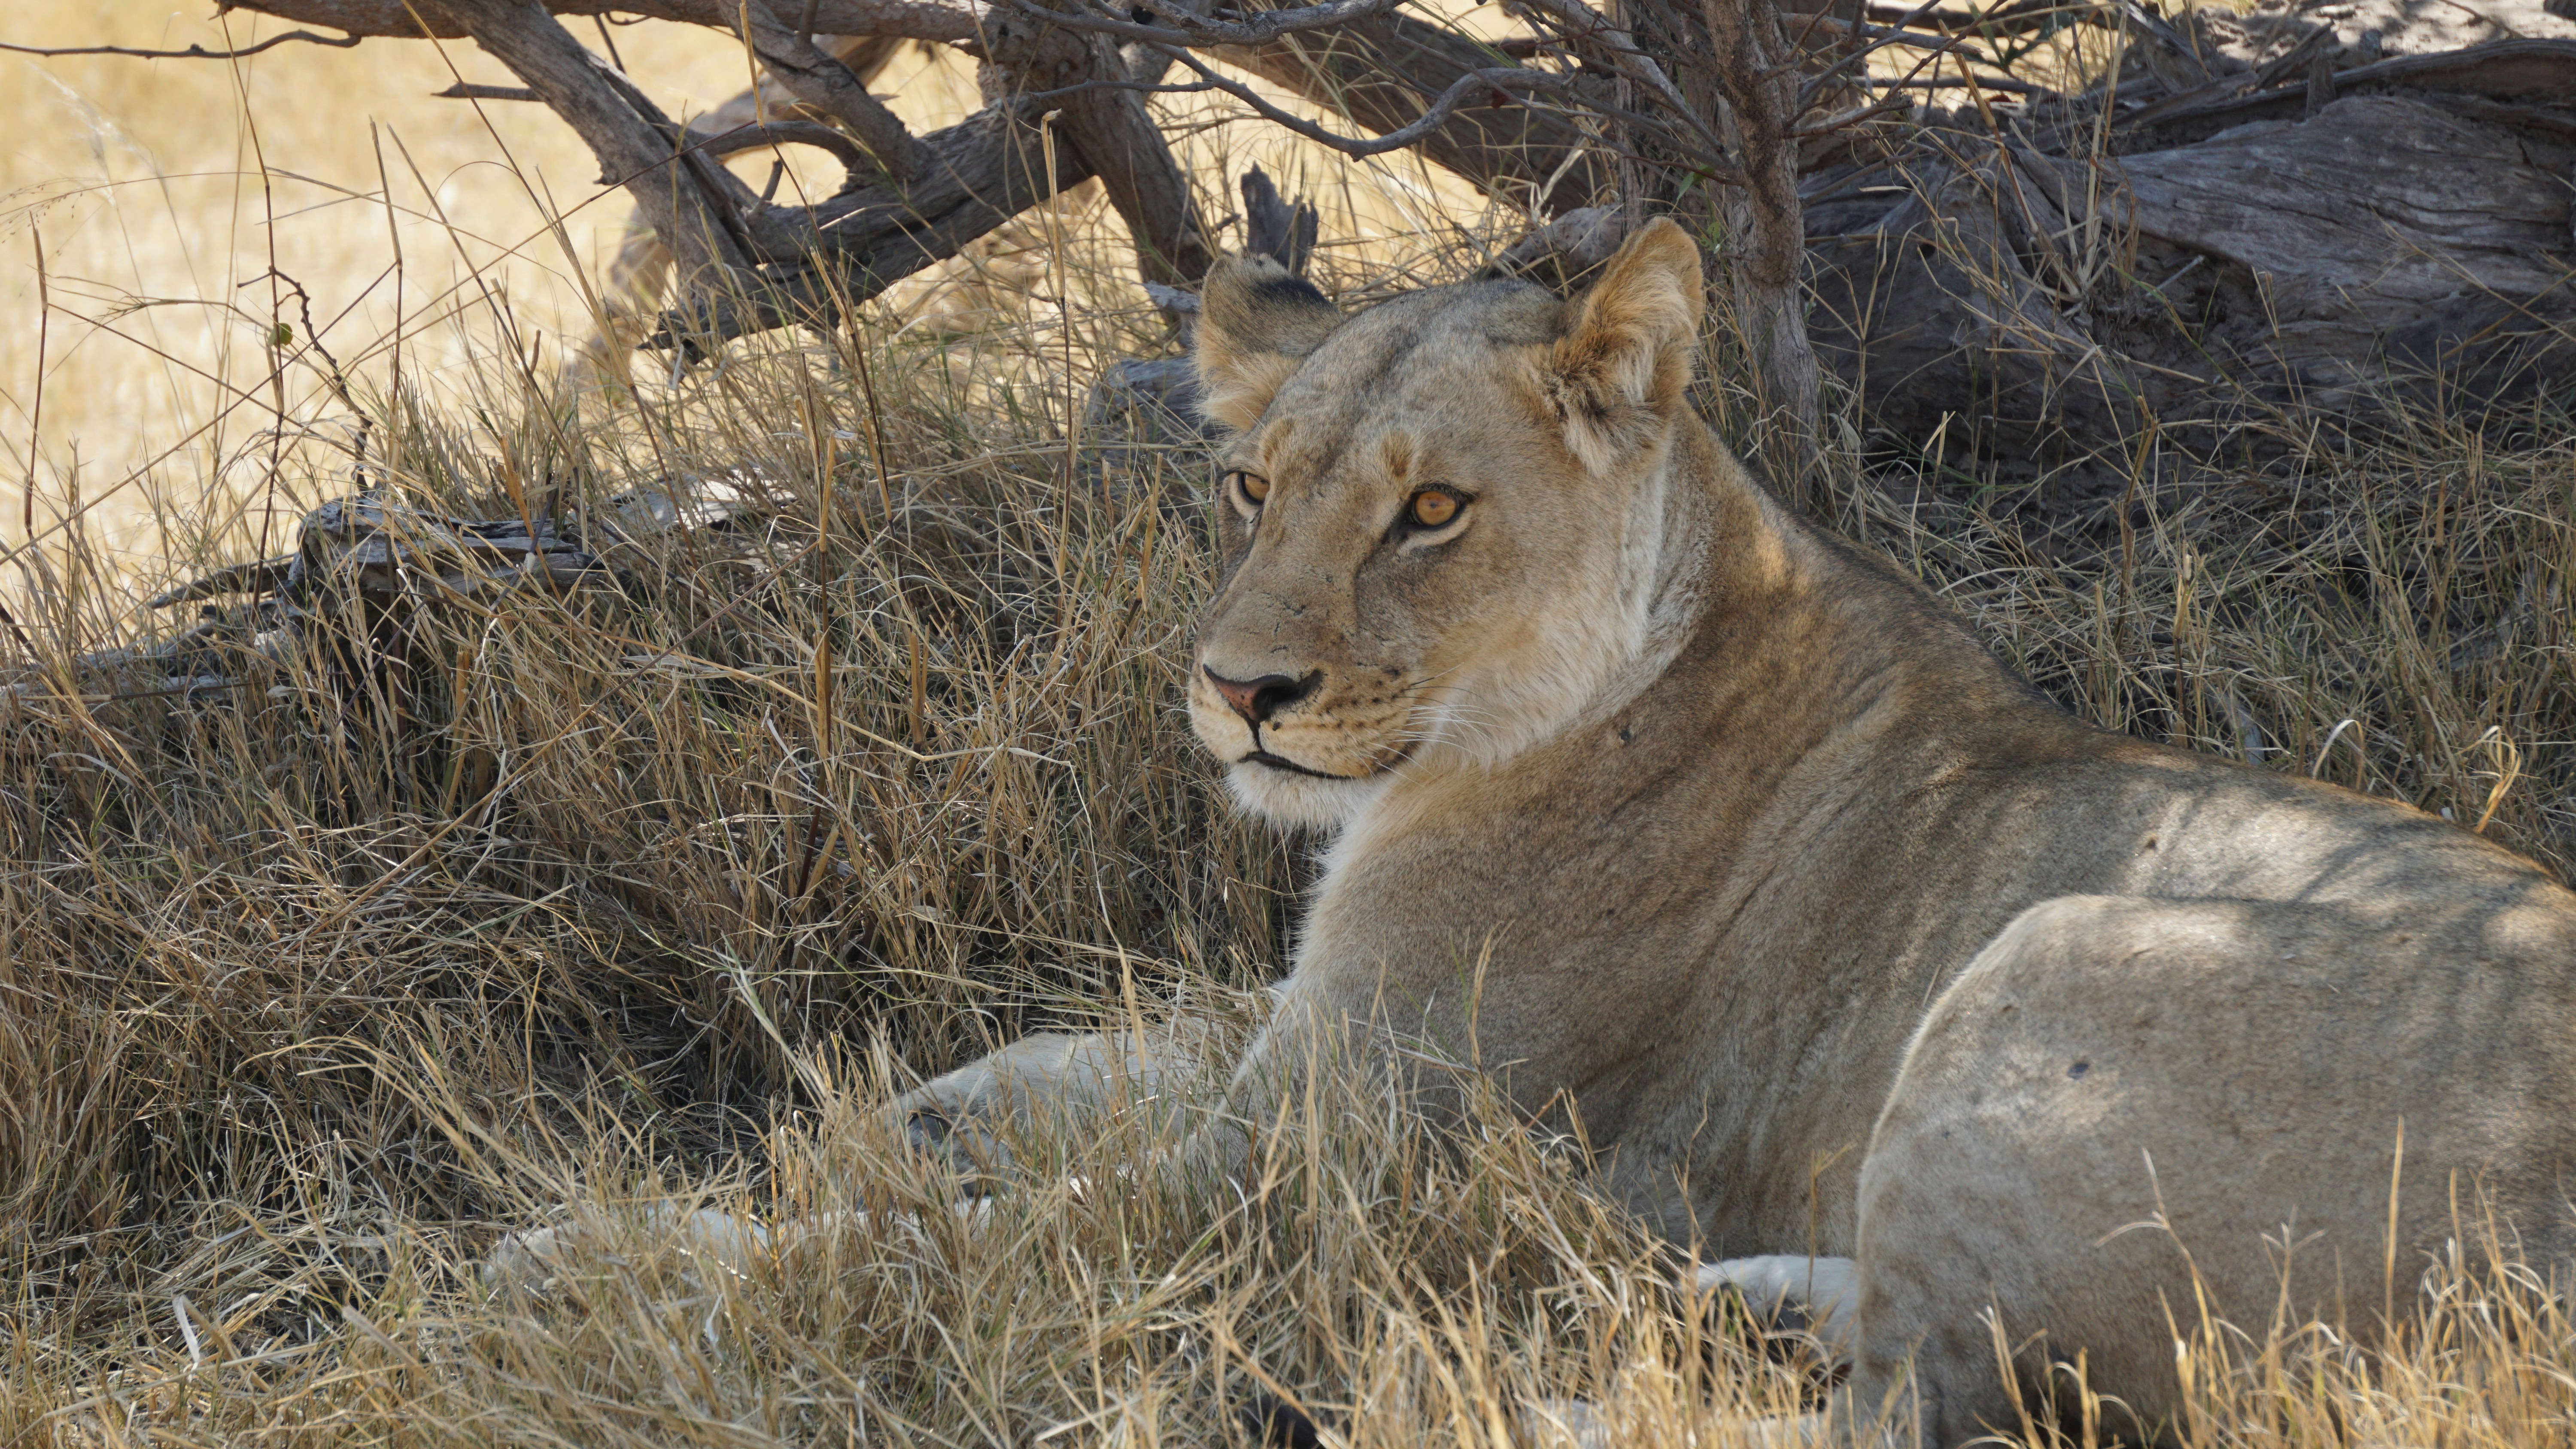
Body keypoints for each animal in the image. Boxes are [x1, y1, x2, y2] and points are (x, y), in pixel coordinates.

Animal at [890, 219, 2576, 1443]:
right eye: (1249, 487)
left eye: (1431, 512)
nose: (1239, 692)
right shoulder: (1313, 1034)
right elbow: (1113, 1050)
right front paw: (917, 1112)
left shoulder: (1333, 1137)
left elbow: (1041, 1228)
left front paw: (844, 1219)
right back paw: (1723, 1298)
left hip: (2052, 949)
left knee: (1909, 1412)